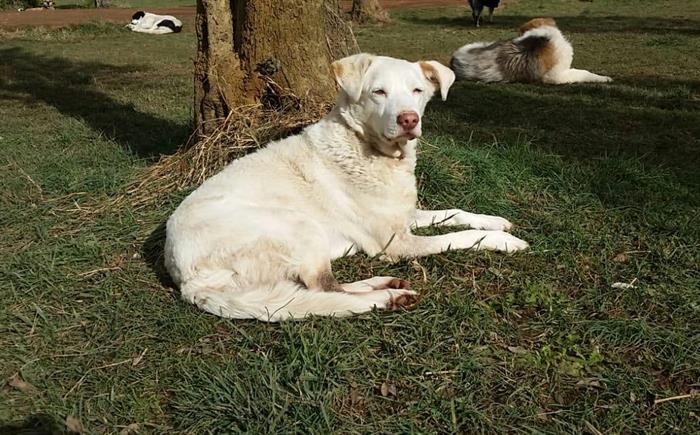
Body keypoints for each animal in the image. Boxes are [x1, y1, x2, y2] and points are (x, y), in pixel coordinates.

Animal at [164, 53, 528, 324]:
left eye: (417, 91)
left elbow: (455, 213)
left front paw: (494, 221)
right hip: (297, 224)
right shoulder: (396, 244)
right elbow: (460, 236)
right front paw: (504, 241)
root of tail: (187, 278)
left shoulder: (404, 217)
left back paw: (384, 286)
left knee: (324, 289)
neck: (372, 150)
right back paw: (388, 296)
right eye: (379, 92)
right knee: (323, 289)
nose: (409, 120)